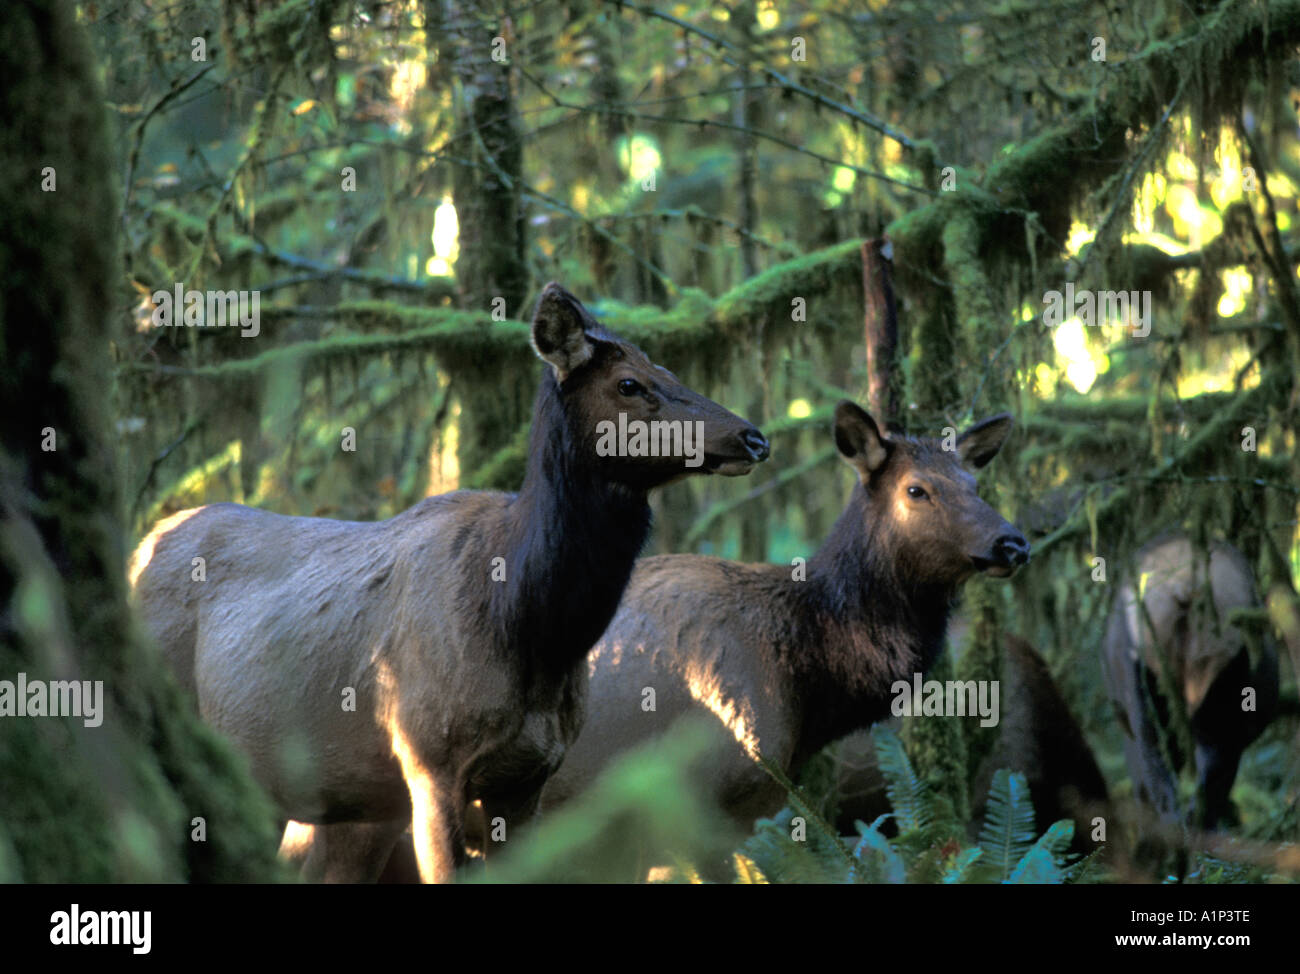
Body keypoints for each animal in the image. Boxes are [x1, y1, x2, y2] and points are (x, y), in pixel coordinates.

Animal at [129, 283, 770, 883]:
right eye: (630, 384)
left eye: (672, 371)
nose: (753, 437)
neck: (528, 627)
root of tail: (137, 549)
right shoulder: (427, 759)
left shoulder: (531, 776)